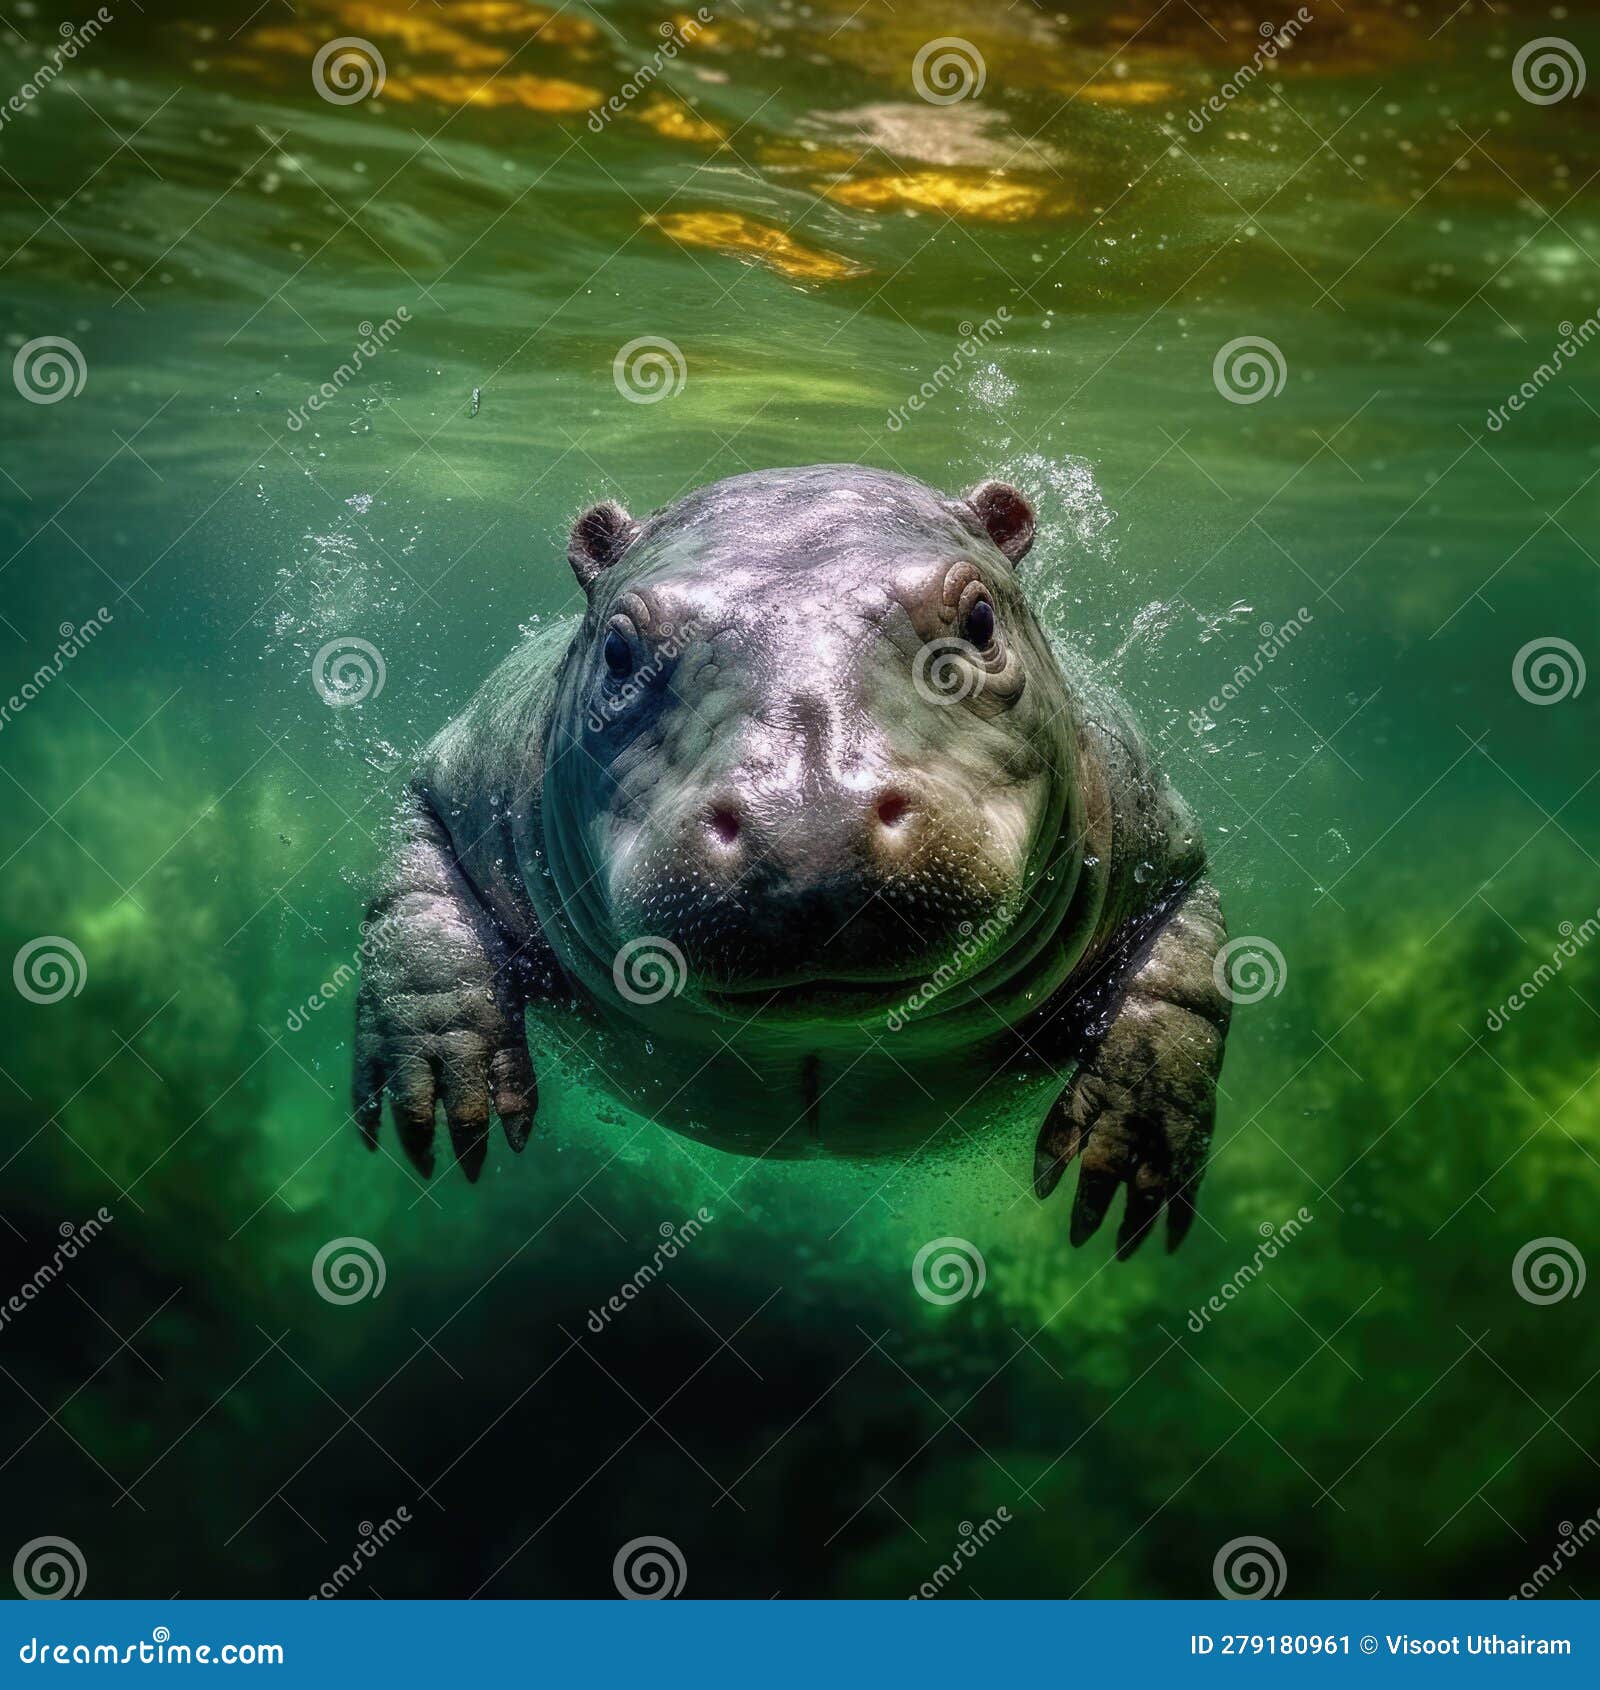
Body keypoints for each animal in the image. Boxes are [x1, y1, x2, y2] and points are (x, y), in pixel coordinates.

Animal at [353, 466, 1230, 1257]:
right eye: (618, 650)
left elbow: (1181, 989)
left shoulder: (1169, 850)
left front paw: (1131, 1147)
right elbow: (421, 925)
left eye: (982, 619)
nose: (809, 825)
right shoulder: (451, 782)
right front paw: (445, 1096)